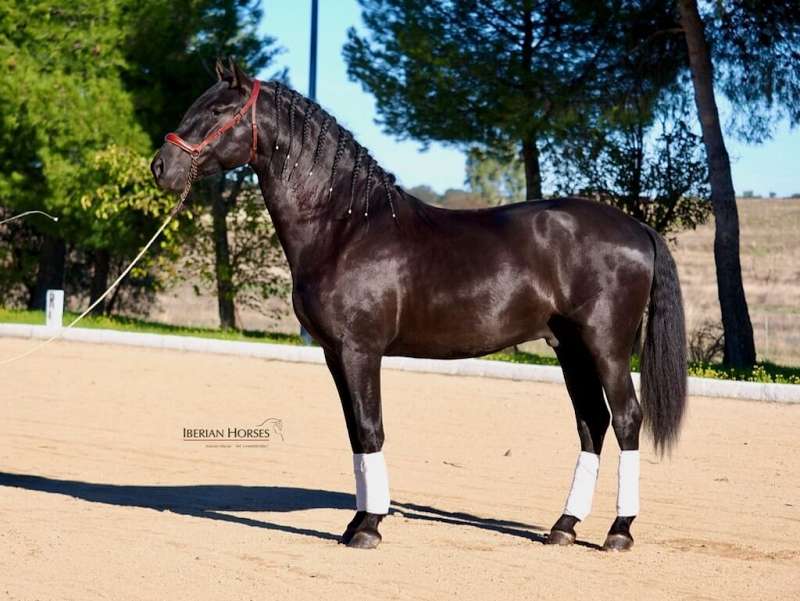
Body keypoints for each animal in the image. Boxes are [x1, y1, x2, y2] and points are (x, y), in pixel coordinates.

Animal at [151, 60, 687, 552]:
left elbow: (370, 430)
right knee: (592, 422)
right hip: (570, 348)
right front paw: (356, 522)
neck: (345, 227)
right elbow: (355, 434)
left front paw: (368, 528)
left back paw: (619, 532)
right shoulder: (333, 354)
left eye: (217, 110)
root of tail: (637, 228)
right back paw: (564, 527)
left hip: (606, 347)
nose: (161, 167)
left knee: (626, 419)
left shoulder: (360, 350)